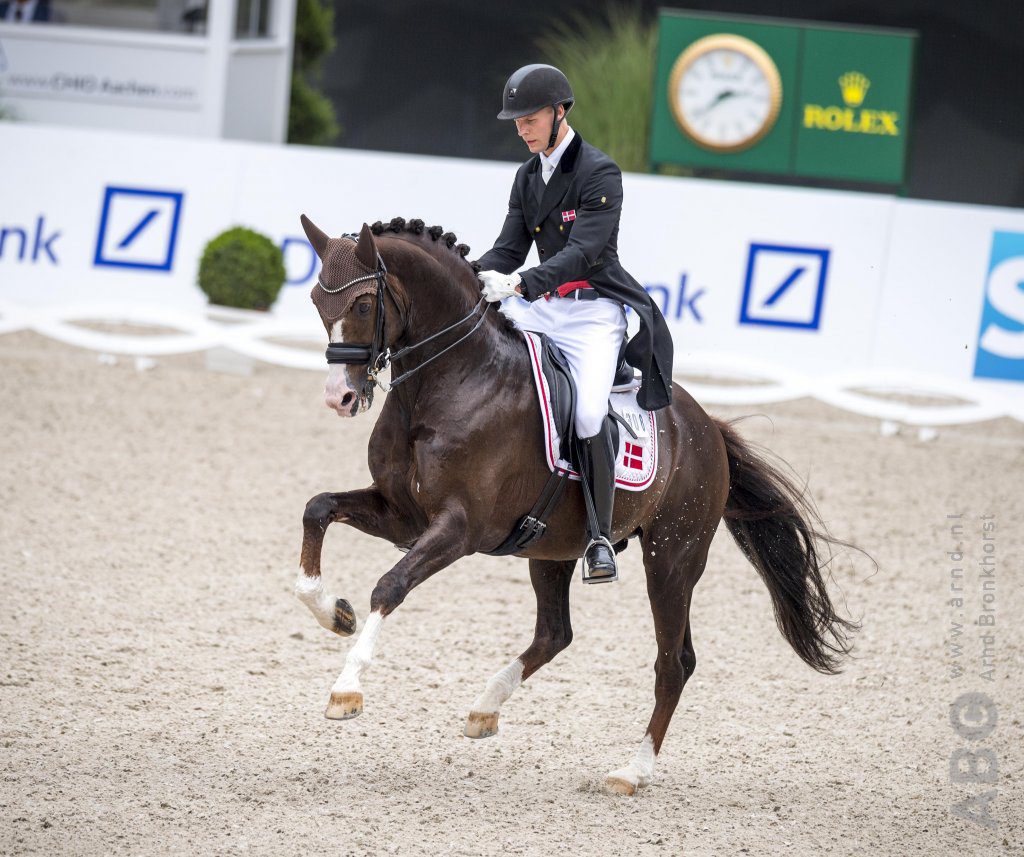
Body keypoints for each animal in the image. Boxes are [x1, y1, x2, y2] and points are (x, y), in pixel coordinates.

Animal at [294, 215, 859, 795]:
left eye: (364, 304)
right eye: (316, 300)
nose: (339, 397)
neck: (451, 380)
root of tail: (707, 426)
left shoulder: (458, 529)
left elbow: (390, 585)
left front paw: (346, 688)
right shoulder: (402, 516)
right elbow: (317, 509)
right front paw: (333, 612)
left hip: (672, 560)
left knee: (673, 664)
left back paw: (631, 771)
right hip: (553, 548)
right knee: (555, 633)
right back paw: (485, 708)